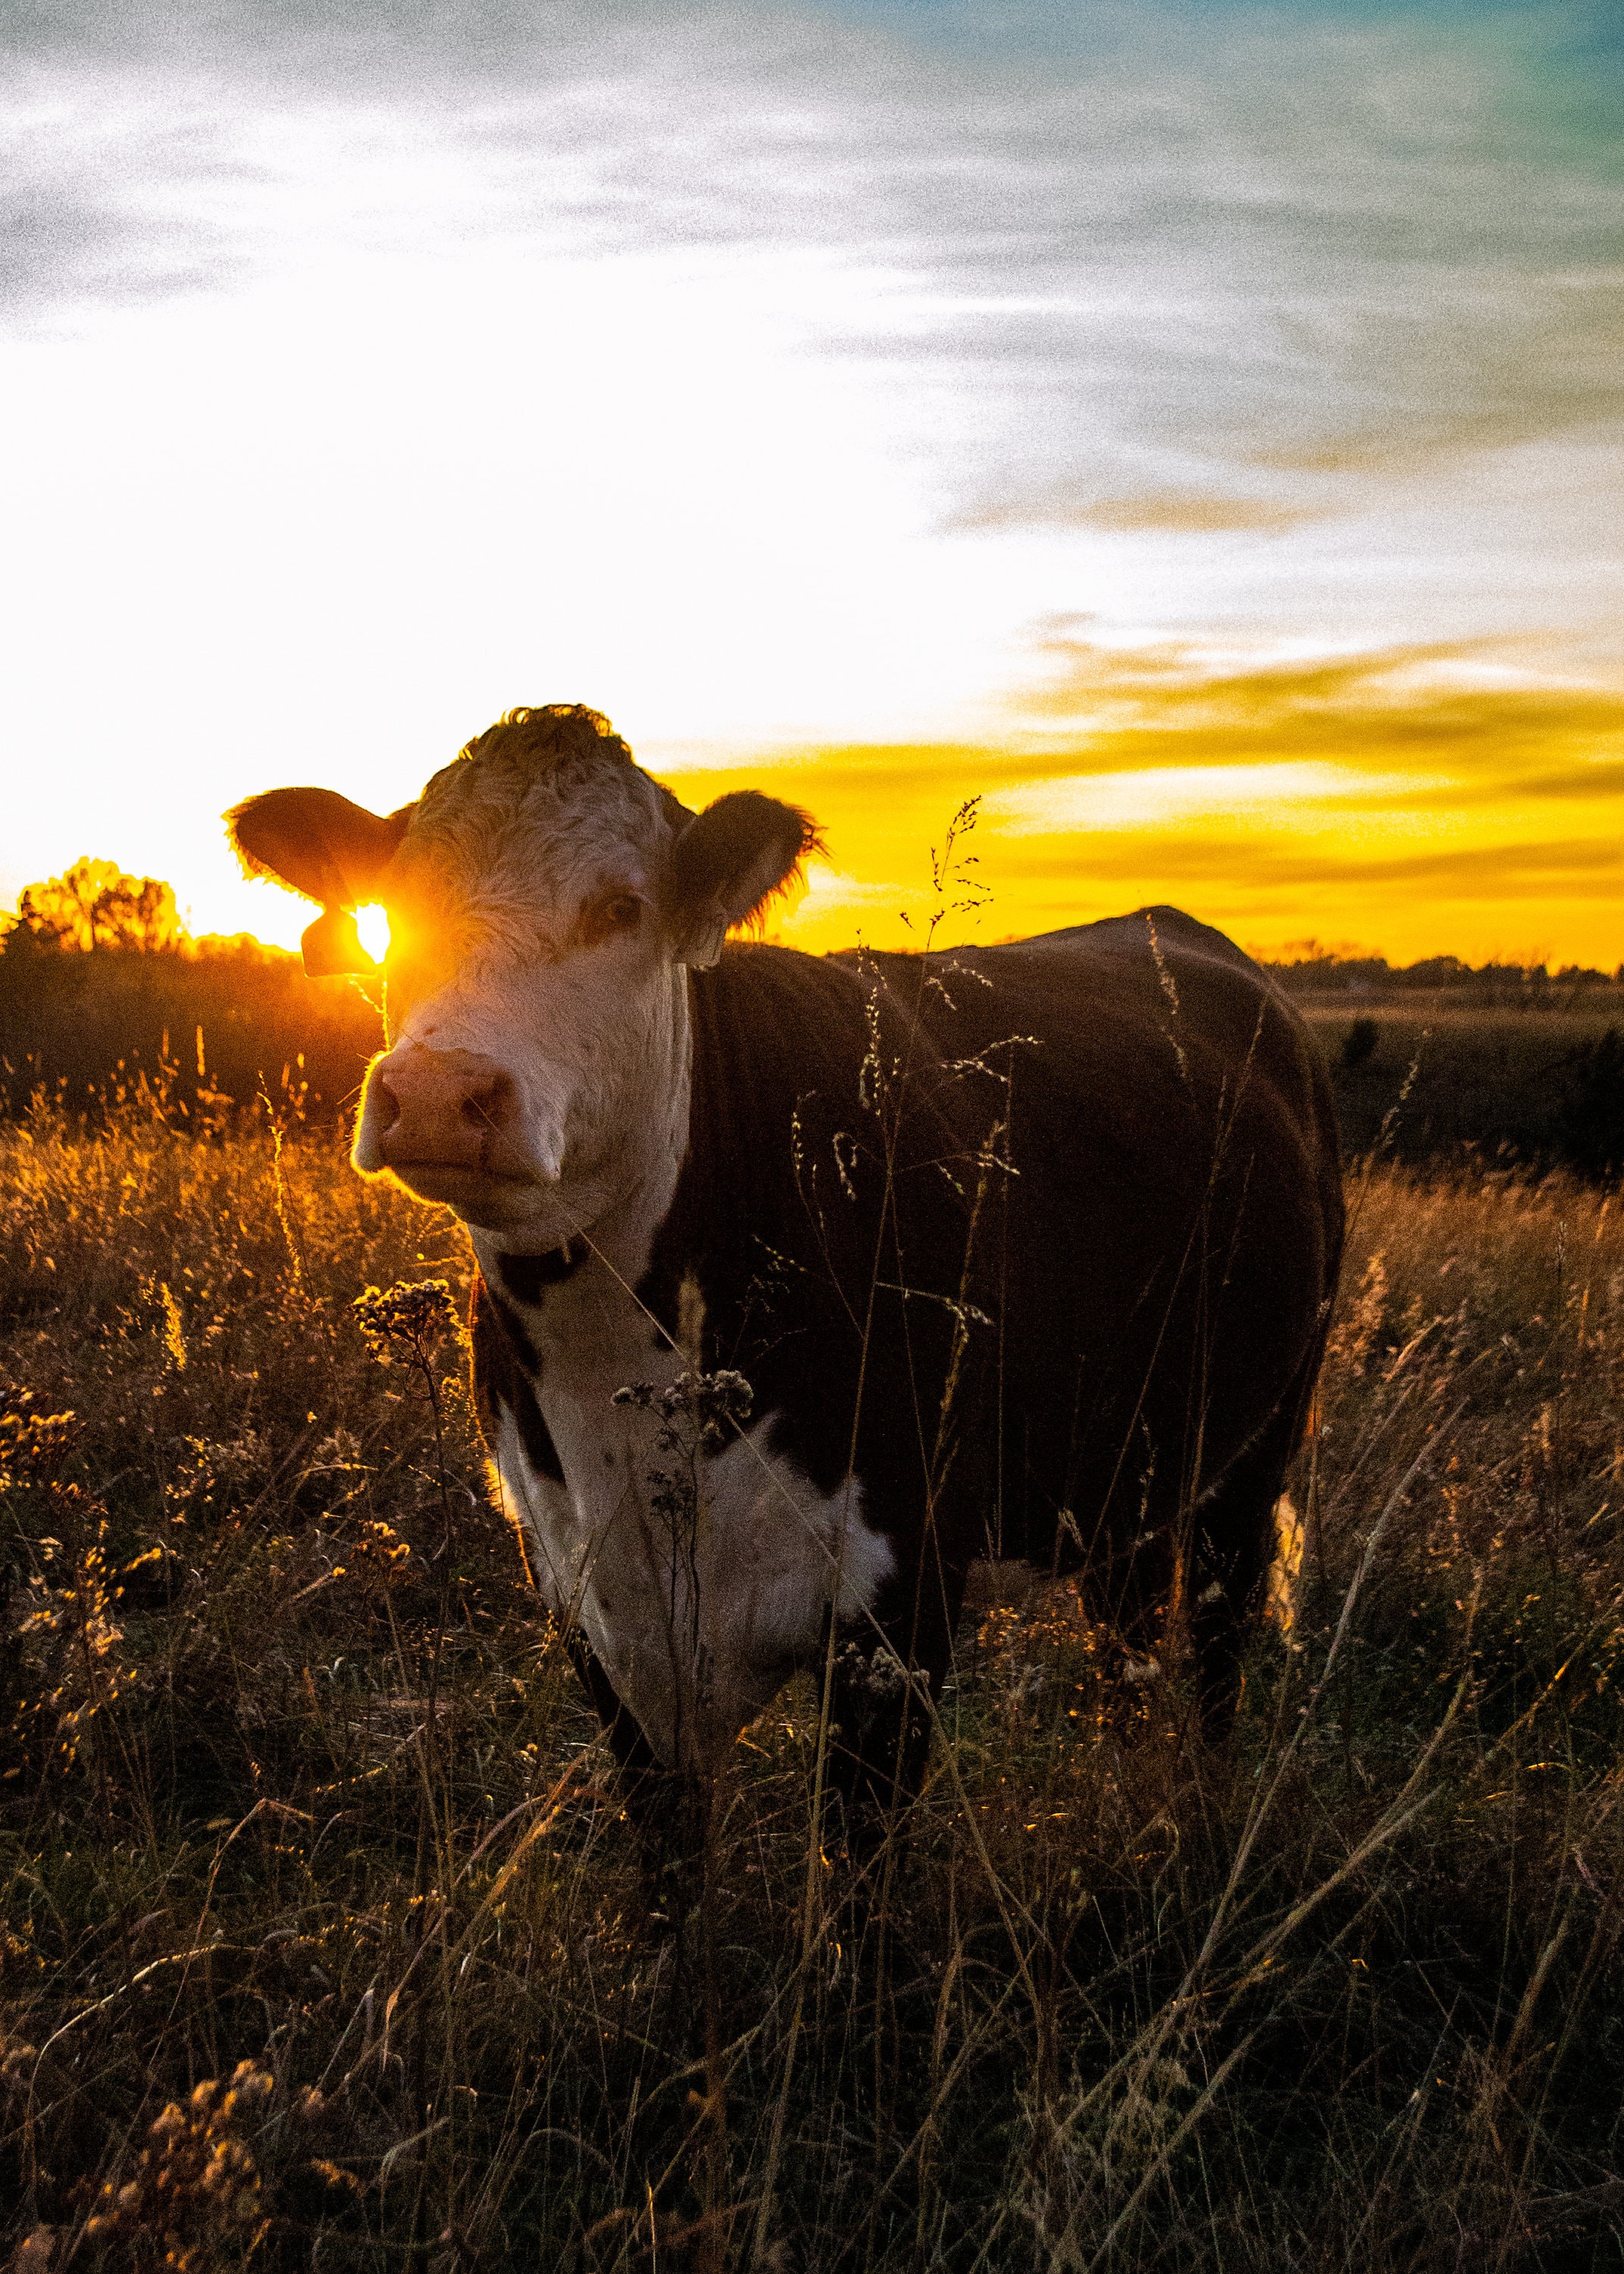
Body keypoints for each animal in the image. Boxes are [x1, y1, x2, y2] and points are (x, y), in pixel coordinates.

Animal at [229, 702, 1343, 1848]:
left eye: (622, 907)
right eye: (394, 907)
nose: (439, 1093)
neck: (618, 1383)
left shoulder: (898, 1607)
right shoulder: (592, 1609)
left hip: (1253, 1453)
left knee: (1214, 1651)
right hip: (1130, 1463)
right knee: (1126, 1638)